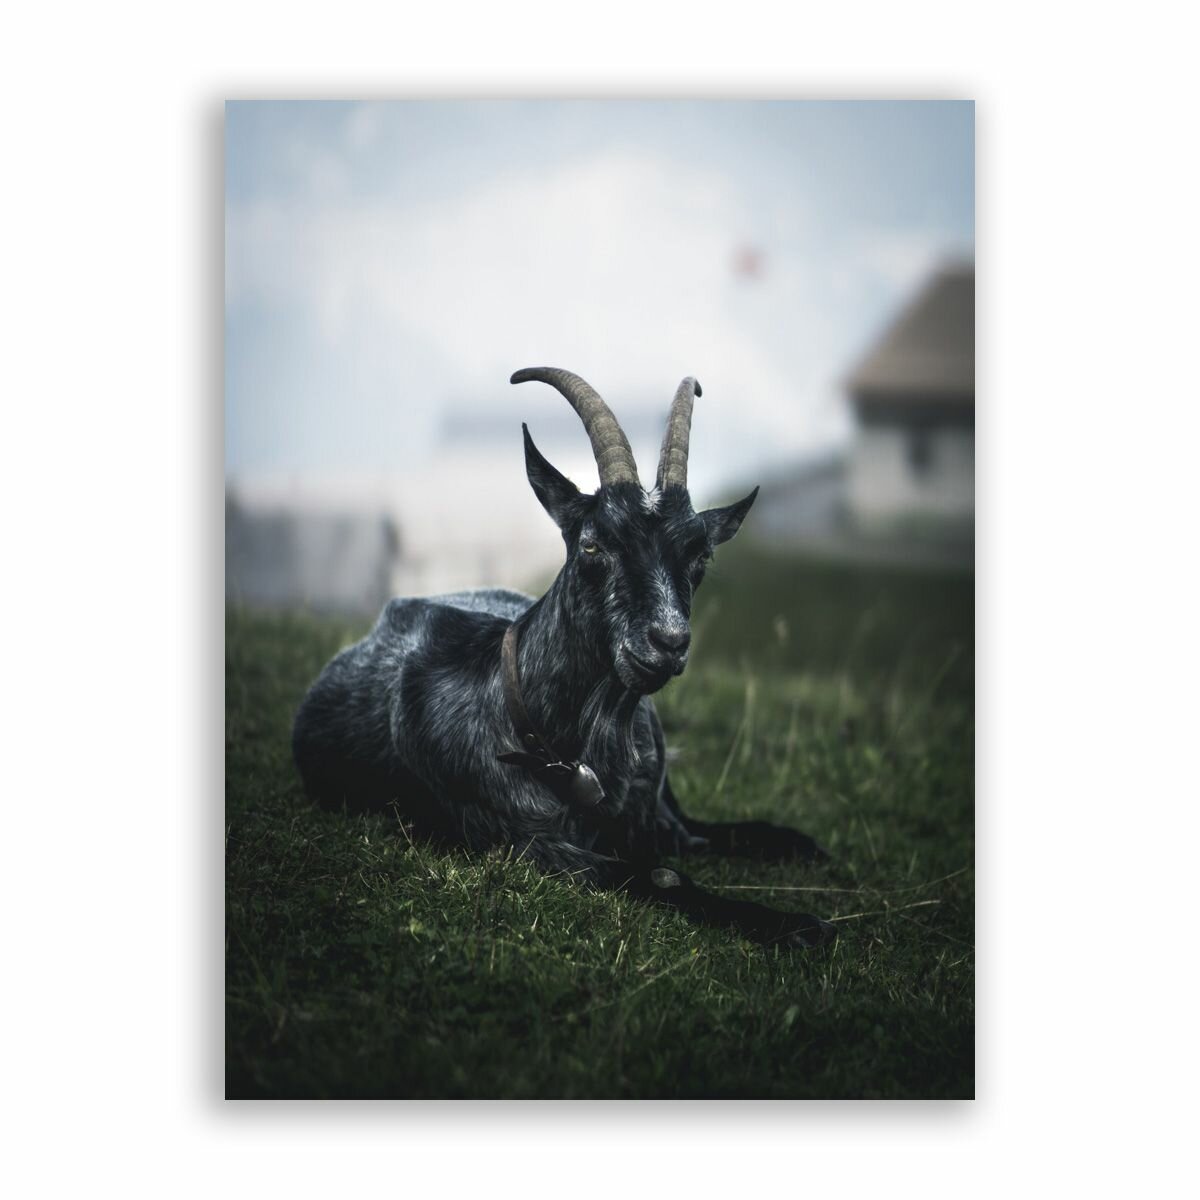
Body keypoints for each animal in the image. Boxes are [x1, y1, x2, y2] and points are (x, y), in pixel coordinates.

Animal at [293, 368, 836, 949]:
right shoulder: (524, 844)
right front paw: (798, 925)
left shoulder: (653, 821)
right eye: (593, 544)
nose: (668, 641)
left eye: (701, 554)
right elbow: (662, 876)